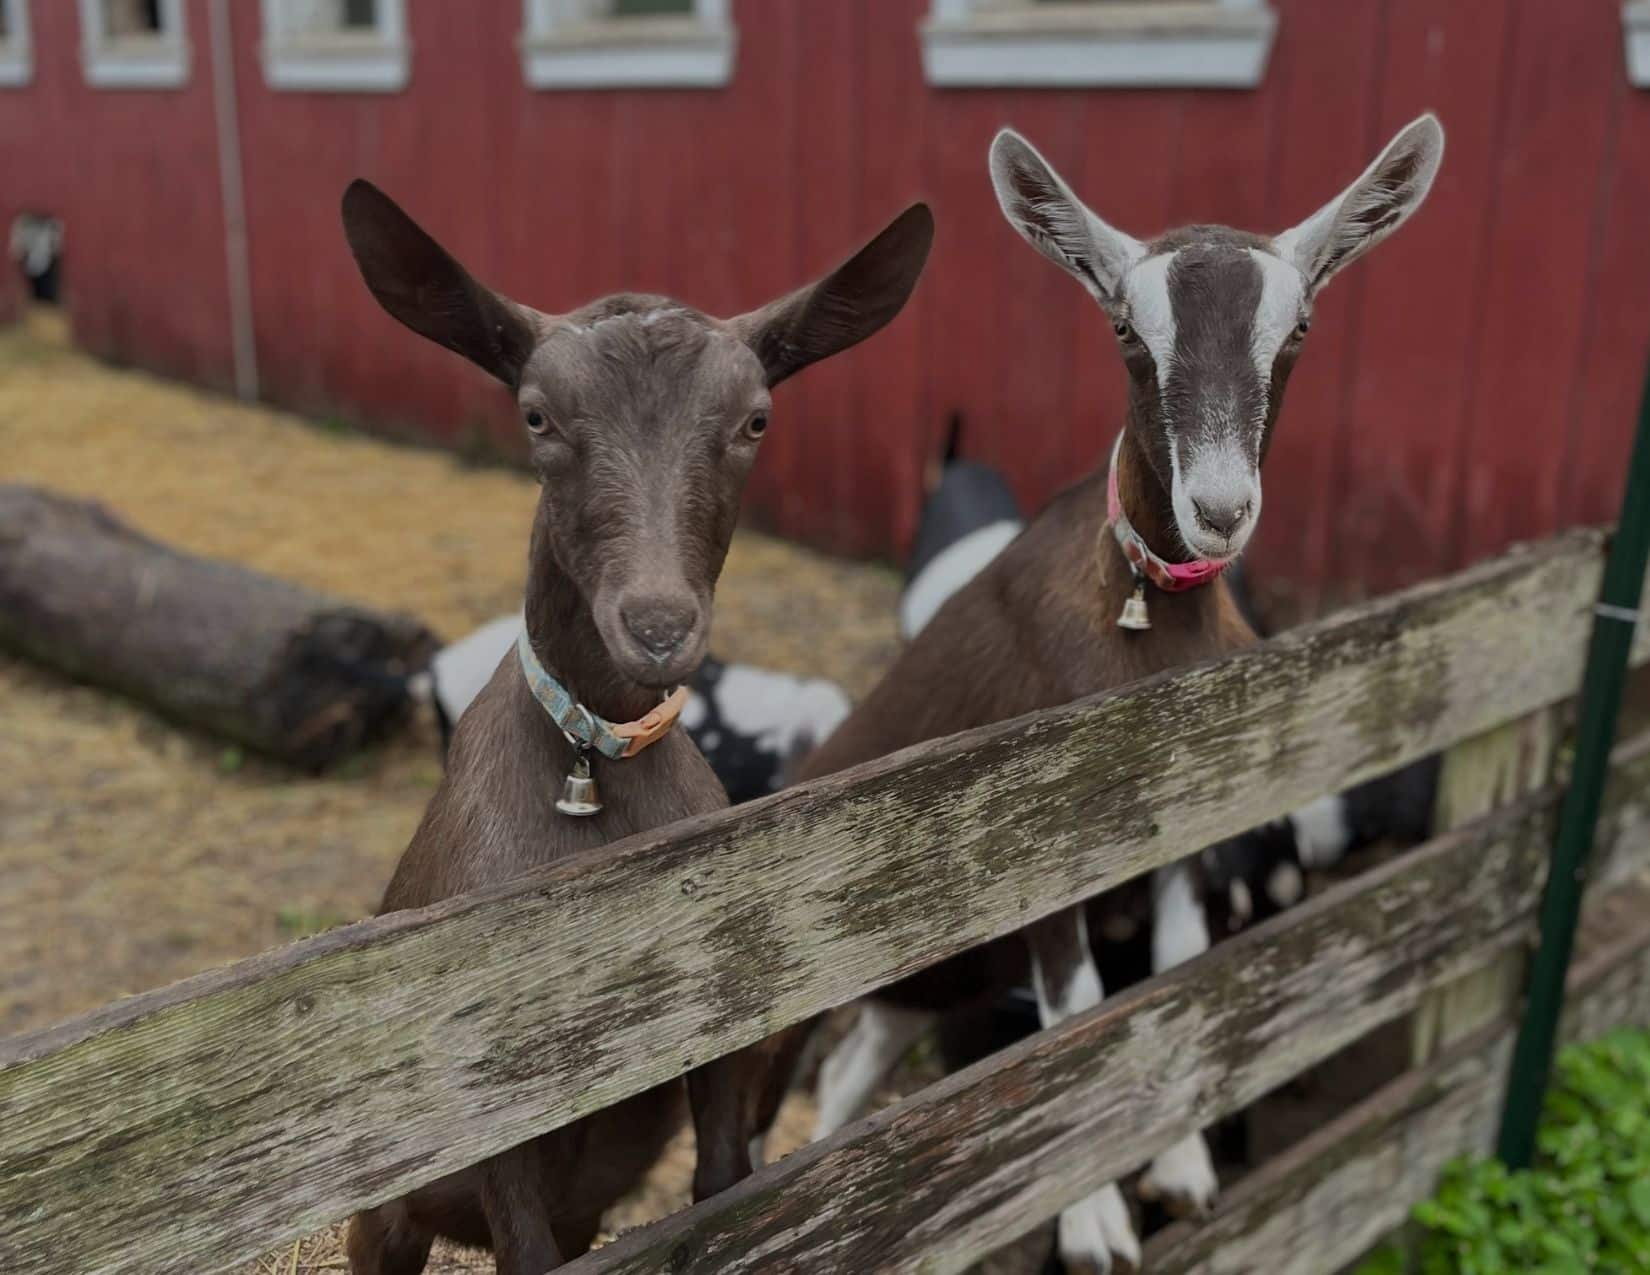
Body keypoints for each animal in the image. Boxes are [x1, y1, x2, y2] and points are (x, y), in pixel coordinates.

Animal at [337, 180, 932, 1274]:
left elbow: (723, 1185)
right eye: (536, 414)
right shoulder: (498, 1106)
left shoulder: (719, 1026)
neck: (593, 775)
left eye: (754, 419)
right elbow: (526, 1251)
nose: (656, 624)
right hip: (387, 1216)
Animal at [789, 116, 1445, 1274]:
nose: (1218, 508)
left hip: (933, 981)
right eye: (1129, 334)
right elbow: (1076, 1011)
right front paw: (1094, 1221)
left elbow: (1177, 968)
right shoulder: (1041, 864)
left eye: (1299, 328)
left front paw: (1179, 1169)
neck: (1141, 626)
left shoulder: (1187, 836)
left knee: (857, 1060)